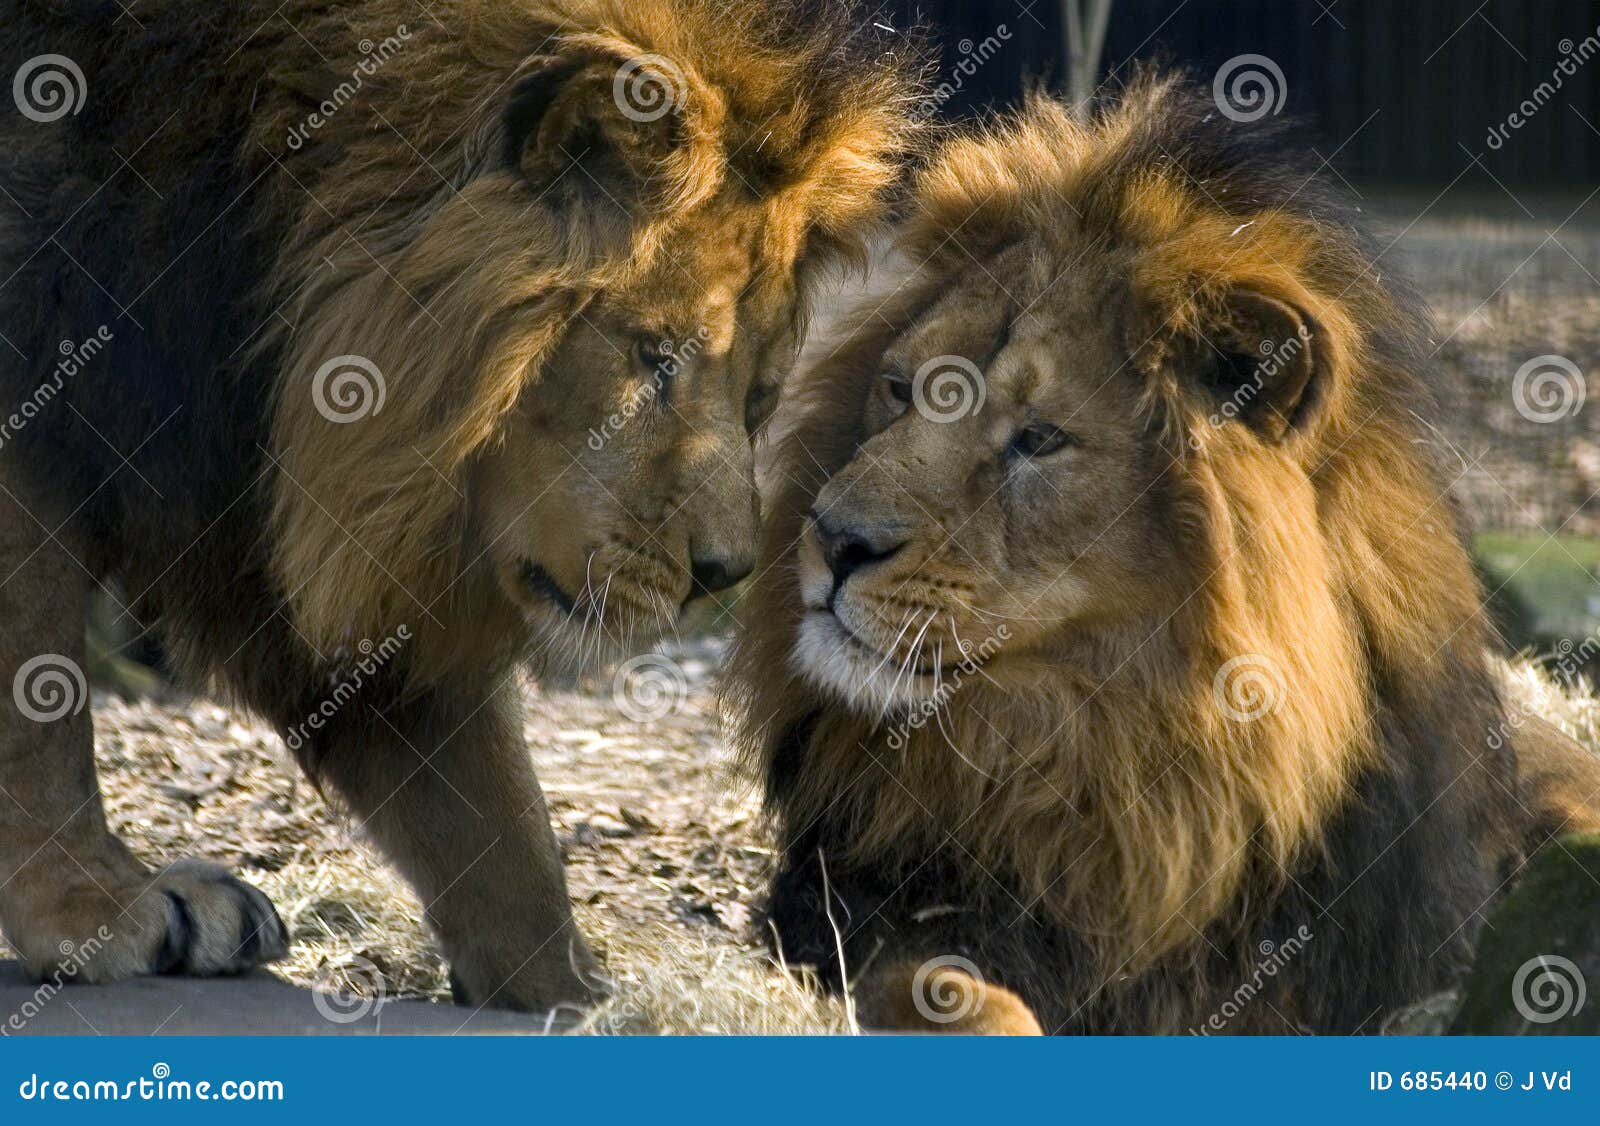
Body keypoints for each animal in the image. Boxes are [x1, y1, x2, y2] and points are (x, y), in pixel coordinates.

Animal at [0, 0, 922, 1013]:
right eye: (656, 356)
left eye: (759, 397)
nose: (724, 573)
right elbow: (35, 687)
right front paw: (92, 908)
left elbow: (485, 802)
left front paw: (580, 989)